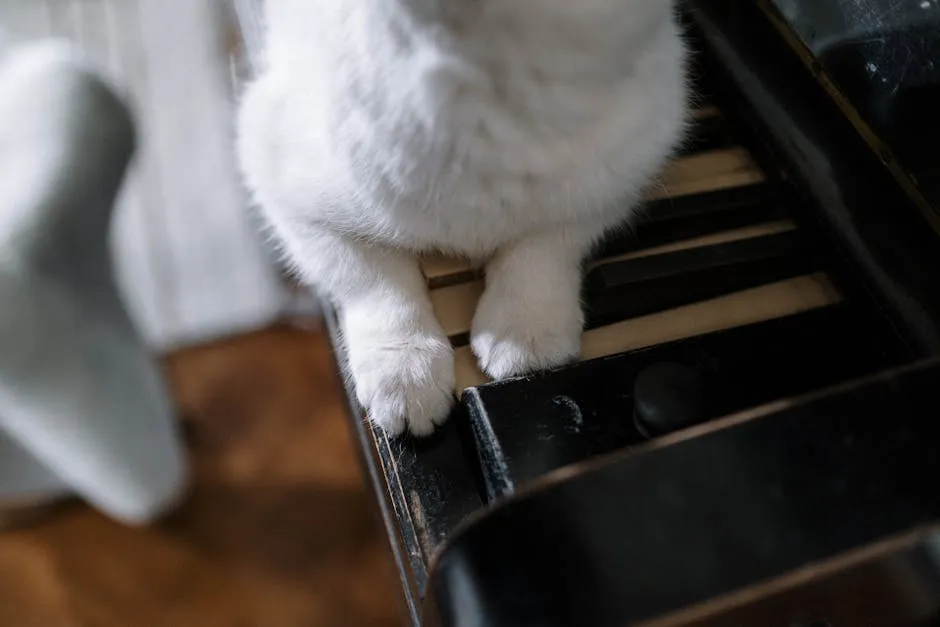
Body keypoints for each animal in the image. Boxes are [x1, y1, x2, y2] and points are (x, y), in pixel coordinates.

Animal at [235, 0, 692, 436]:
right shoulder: (283, 191)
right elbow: (375, 281)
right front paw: (405, 373)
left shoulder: (615, 181)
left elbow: (540, 250)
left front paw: (527, 330)